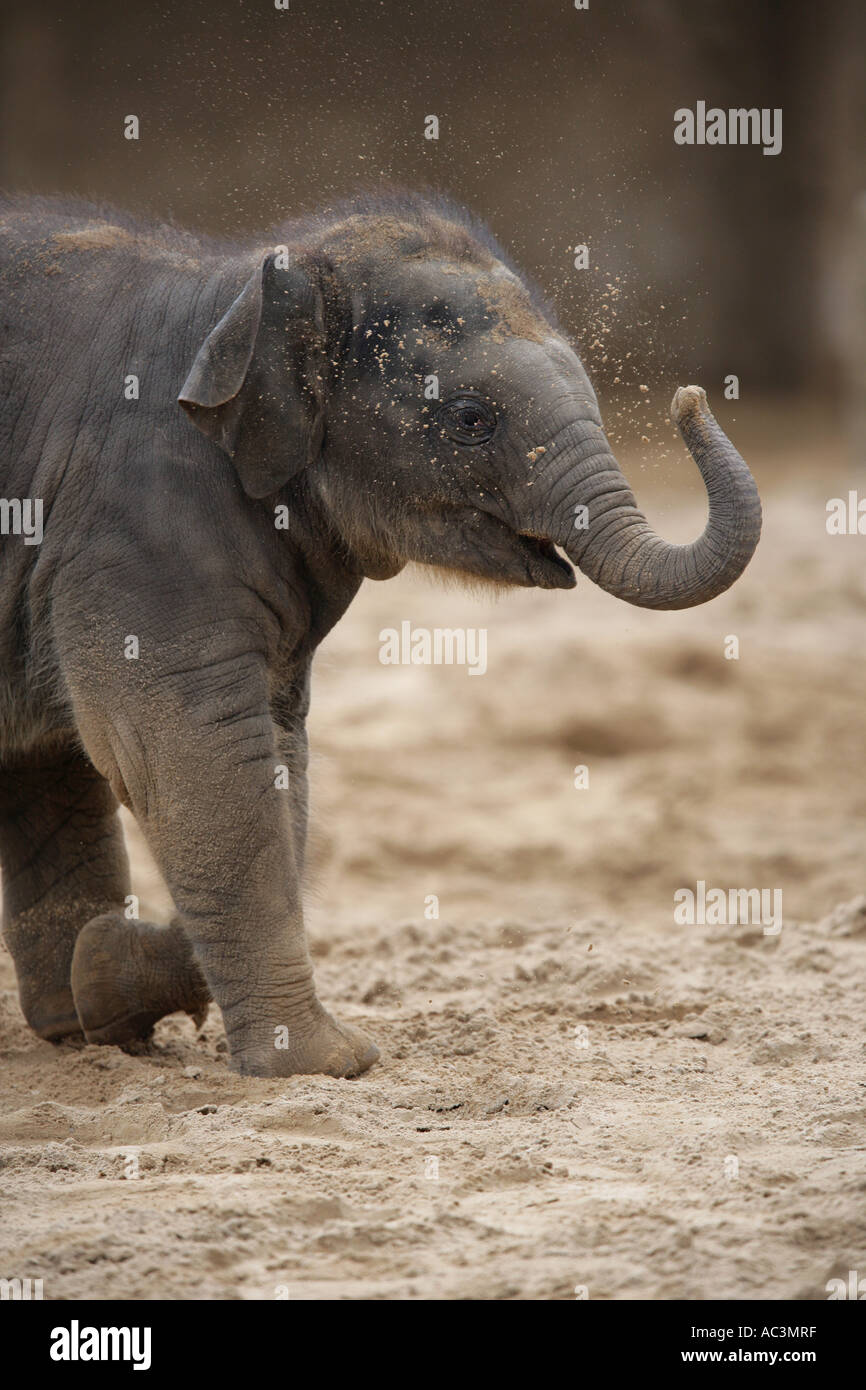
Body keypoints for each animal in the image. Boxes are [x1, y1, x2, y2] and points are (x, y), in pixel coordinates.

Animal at [0, 191, 761, 1077]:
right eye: (471, 420)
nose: (690, 398)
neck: (251, 282)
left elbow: (274, 750)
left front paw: (109, 979)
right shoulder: (138, 524)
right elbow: (189, 747)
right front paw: (326, 1064)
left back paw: (73, 1019)